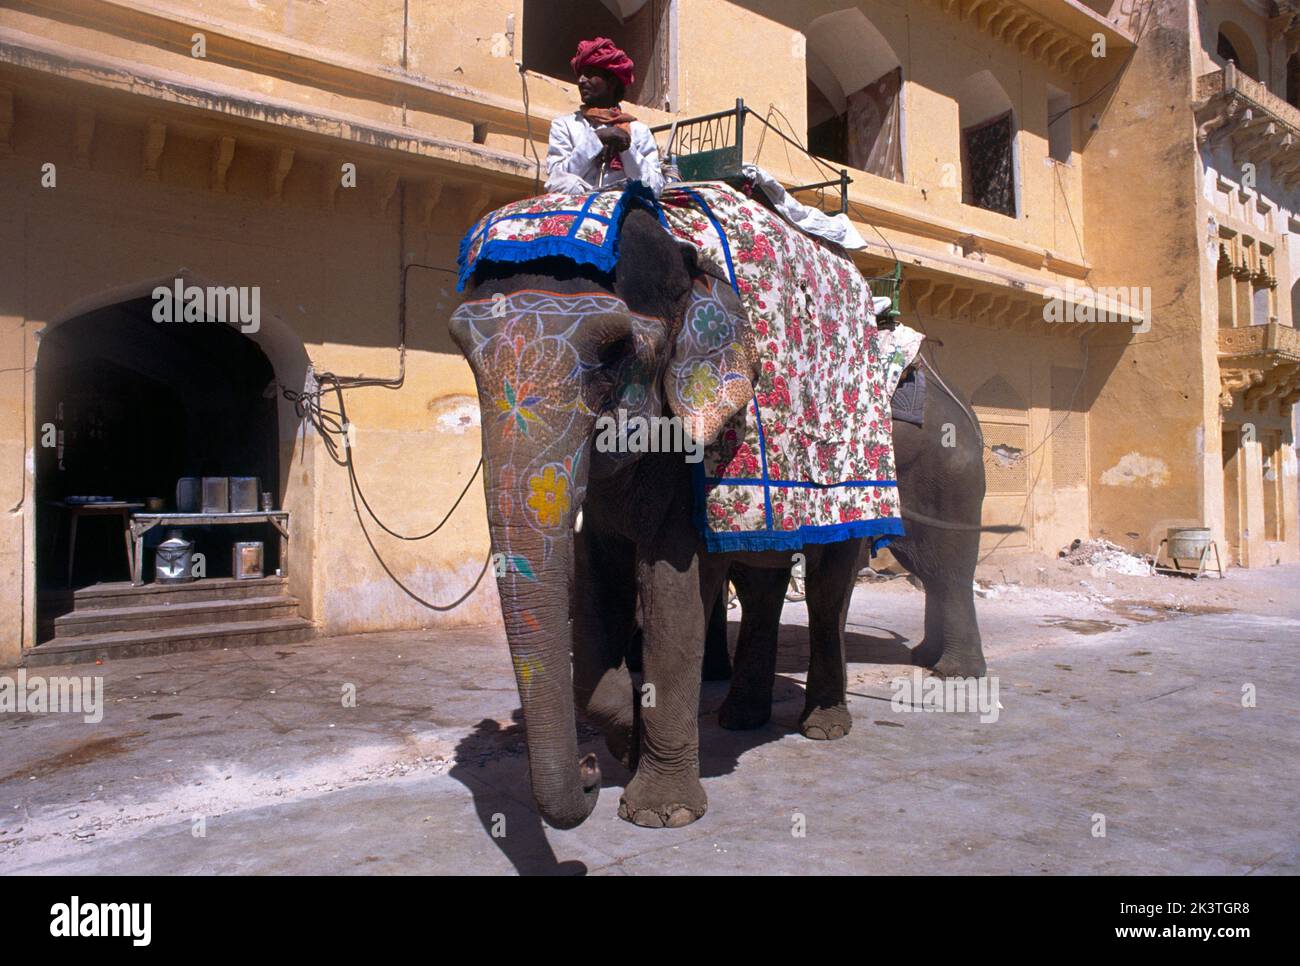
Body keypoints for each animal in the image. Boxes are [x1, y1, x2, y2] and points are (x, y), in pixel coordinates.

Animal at [451, 203, 1002, 831]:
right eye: (464, 352)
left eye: (613, 353)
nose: (587, 773)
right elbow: (597, 583)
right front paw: (623, 741)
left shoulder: (702, 448)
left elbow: (672, 592)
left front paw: (659, 812)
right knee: (770, 585)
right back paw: (749, 717)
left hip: (936, 470)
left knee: (871, 578)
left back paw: (880, 704)